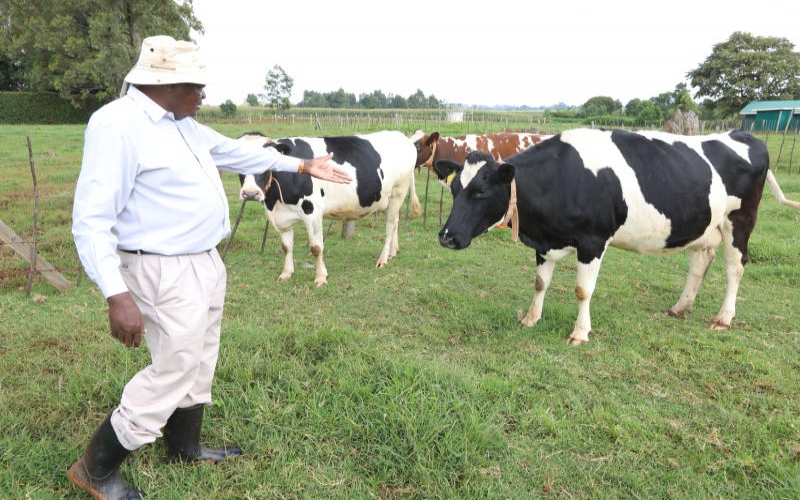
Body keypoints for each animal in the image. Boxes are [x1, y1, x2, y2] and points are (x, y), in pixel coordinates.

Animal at [238, 130, 421, 286]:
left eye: (267, 159)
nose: (250, 193)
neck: (273, 202)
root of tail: (401, 136)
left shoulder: (312, 211)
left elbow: (316, 247)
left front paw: (320, 277)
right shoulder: (282, 217)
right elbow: (286, 246)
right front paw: (286, 273)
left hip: (398, 192)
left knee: (390, 226)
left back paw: (383, 259)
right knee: (396, 222)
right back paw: (393, 252)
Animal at [437, 128, 800, 345]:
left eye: (481, 191)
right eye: (454, 189)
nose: (447, 237)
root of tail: (742, 133)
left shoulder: (592, 241)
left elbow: (583, 290)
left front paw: (580, 333)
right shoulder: (546, 241)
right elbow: (540, 283)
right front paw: (530, 318)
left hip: (739, 221)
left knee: (735, 268)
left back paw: (724, 318)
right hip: (702, 224)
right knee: (700, 262)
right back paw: (680, 307)